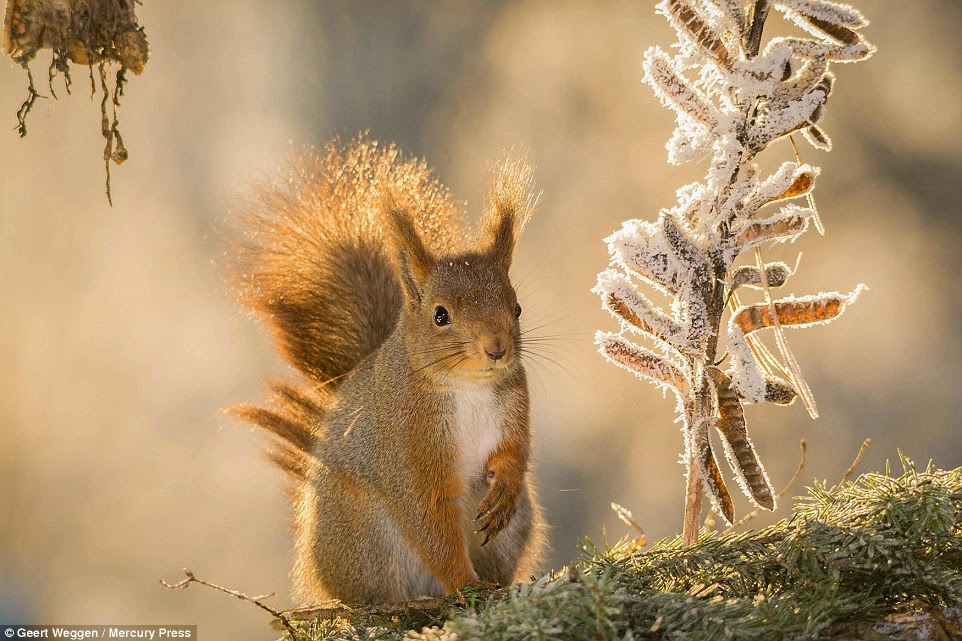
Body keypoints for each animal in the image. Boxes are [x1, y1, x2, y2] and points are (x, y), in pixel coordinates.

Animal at [228, 137, 546, 604]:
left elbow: (514, 454)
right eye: (440, 315)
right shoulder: (407, 449)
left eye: (518, 307)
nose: (497, 348)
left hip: (516, 528)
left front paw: (502, 491)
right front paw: (465, 585)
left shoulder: (513, 404)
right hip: (366, 537)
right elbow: (430, 522)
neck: (467, 386)